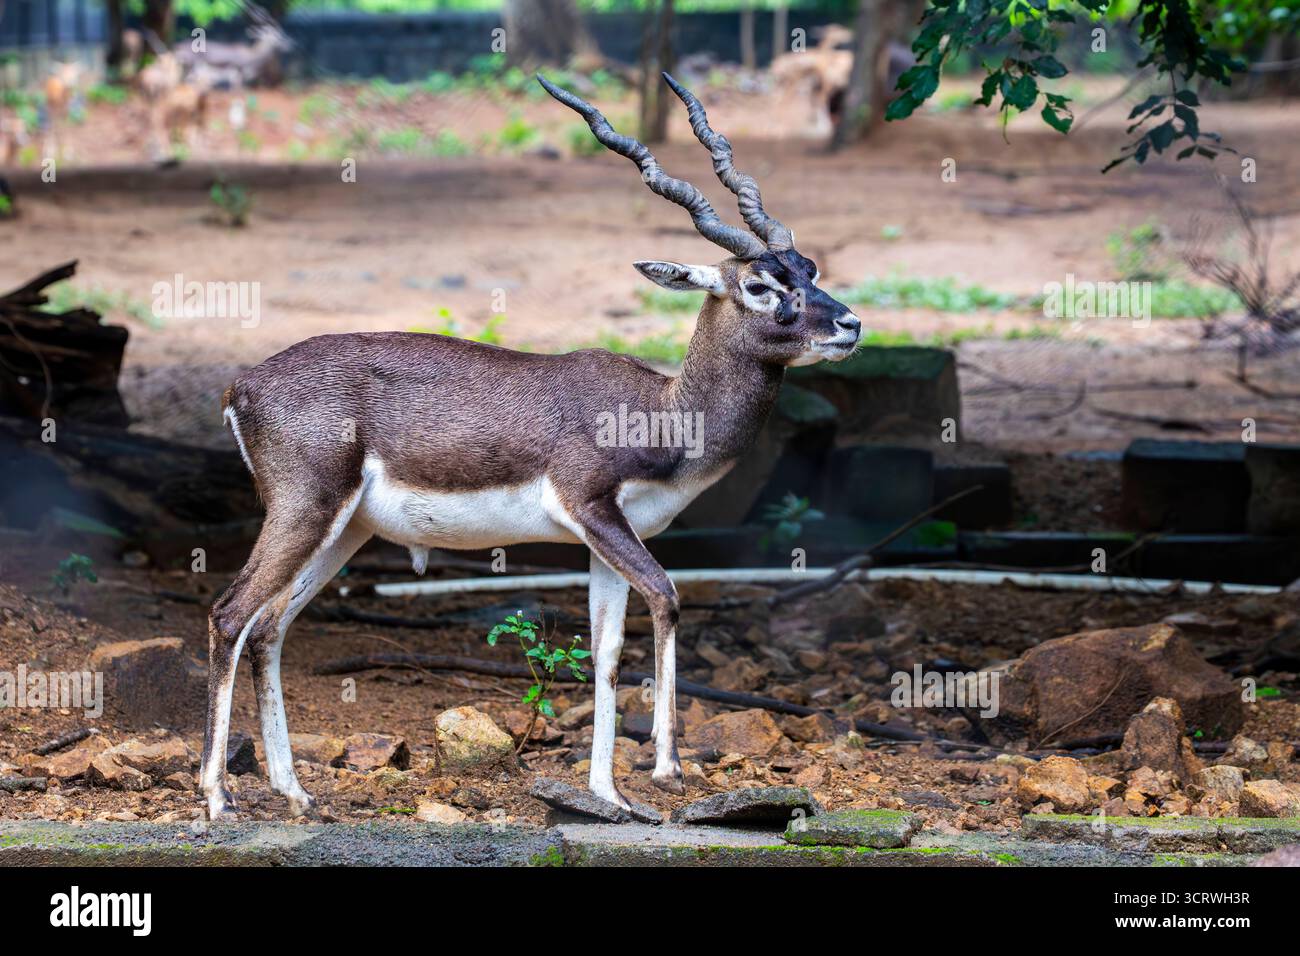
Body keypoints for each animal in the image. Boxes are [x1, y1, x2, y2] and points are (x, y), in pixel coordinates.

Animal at [200, 73, 862, 818]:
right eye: (759, 285)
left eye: (809, 269)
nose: (850, 324)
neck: (664, 412)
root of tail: (243, 385)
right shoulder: (590, 506)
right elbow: (668, 598)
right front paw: (665, 768)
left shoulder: (607, 538)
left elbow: (605, 653)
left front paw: (608, 795)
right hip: (305, 510)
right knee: (230, 615)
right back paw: (218, 797)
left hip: (346, 530)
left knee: (270, 627)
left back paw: (294, 791)